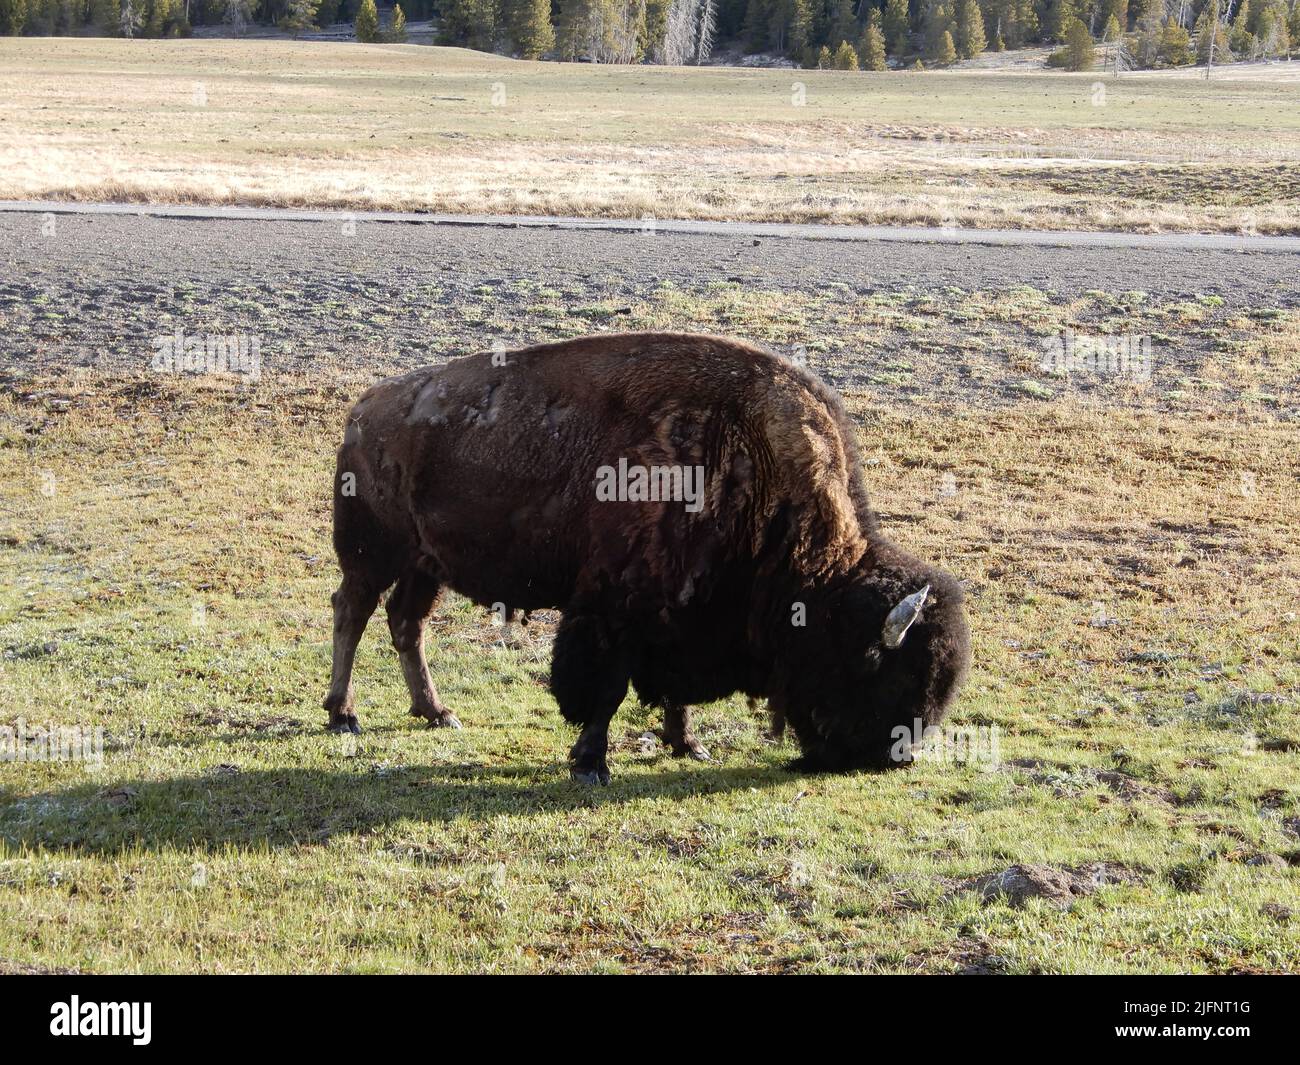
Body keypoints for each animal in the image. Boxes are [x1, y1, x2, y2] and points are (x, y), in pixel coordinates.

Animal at [323, 333, 970, 783]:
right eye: (889, 673)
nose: (892, 758)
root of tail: (364, 409)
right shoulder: (615, 610)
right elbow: (604, 689)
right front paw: (591, 764)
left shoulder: (681, 614)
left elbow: (670, 691)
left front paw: (688, 744)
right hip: (372, 554)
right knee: (352, 613)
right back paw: (342, 714)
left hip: (425, 564)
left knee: (406, 623)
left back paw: (436, 712)